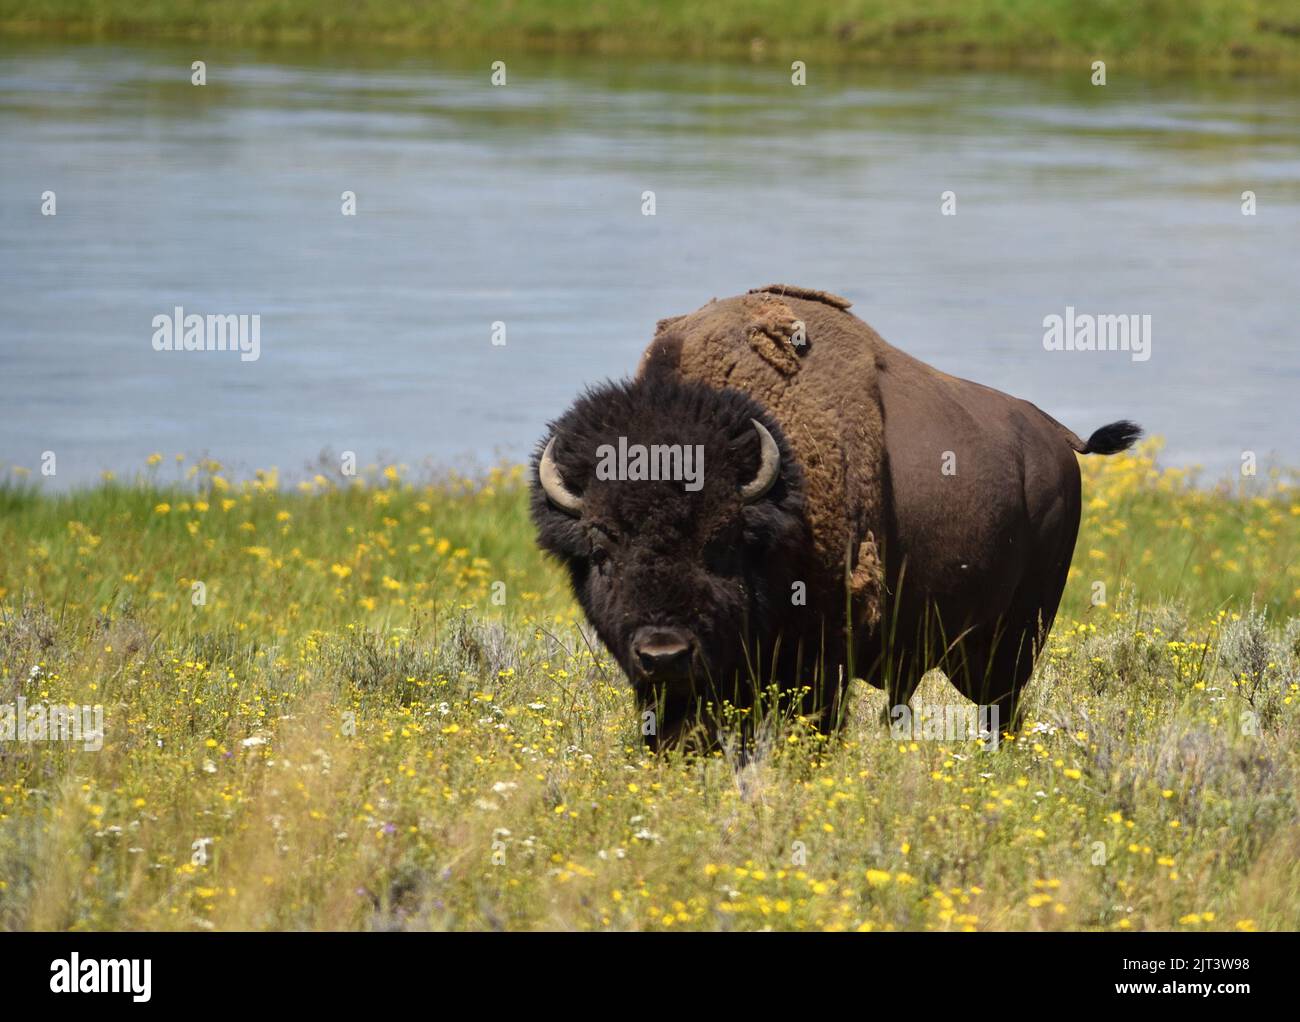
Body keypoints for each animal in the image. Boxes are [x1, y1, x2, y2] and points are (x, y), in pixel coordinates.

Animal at [531, 284, 1140, 749]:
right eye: (601, 550)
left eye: (721, 543)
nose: (664, 653)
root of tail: (1056, 435)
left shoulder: (820, 657)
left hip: (1013, 639)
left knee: (1001, 709)